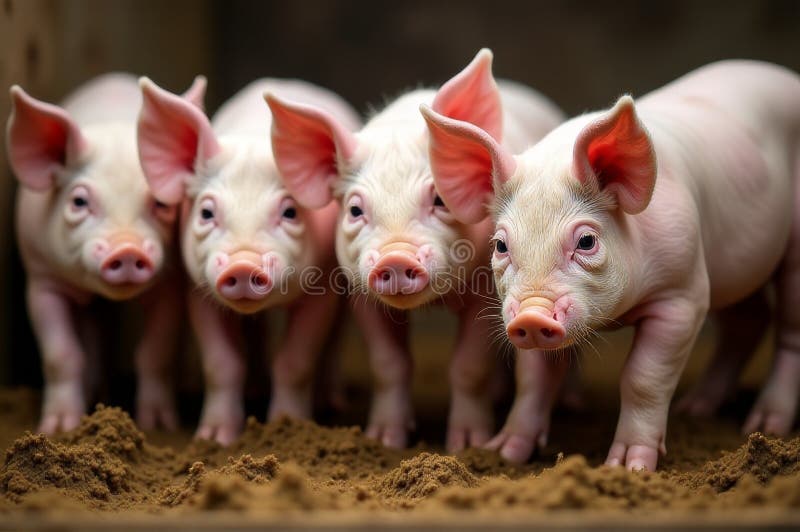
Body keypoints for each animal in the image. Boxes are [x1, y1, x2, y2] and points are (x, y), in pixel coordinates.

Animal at [6, 73, 206, 433]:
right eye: (79, 201)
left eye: (161, 202)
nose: (126, 248)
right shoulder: (41, 278)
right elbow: (61, 354)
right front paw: (59, 428)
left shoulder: (168, 287)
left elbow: (155, 352)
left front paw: (159, 426)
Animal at [136, 77, 361, 444]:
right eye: (206, 212)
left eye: (289, 212)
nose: (243, 264)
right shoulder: (198, 291)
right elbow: (222, 363)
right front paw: (212, 439)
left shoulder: (323, 288)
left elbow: (295, 361)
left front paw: (287, 430)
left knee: (334, 340)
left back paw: (331, 401)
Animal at [265, 49, 564, 450]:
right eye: (355, 210)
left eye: (439, 199)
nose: (396, 257)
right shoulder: (361, 293)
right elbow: (389, 364)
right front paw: (385, 441)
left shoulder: (485, 290)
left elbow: (468, 367)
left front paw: (468, 445)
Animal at [421, 60, 800, 470]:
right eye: (502, 245)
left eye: (586, 241)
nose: (532, 316)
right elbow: (534, 379)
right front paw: (504, 453)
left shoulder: (684, 294)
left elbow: (642, 378)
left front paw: (628, 467)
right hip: (732, 269)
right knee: (750, 320)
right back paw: (696, 409)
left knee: (787, 332)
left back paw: (765, 424)